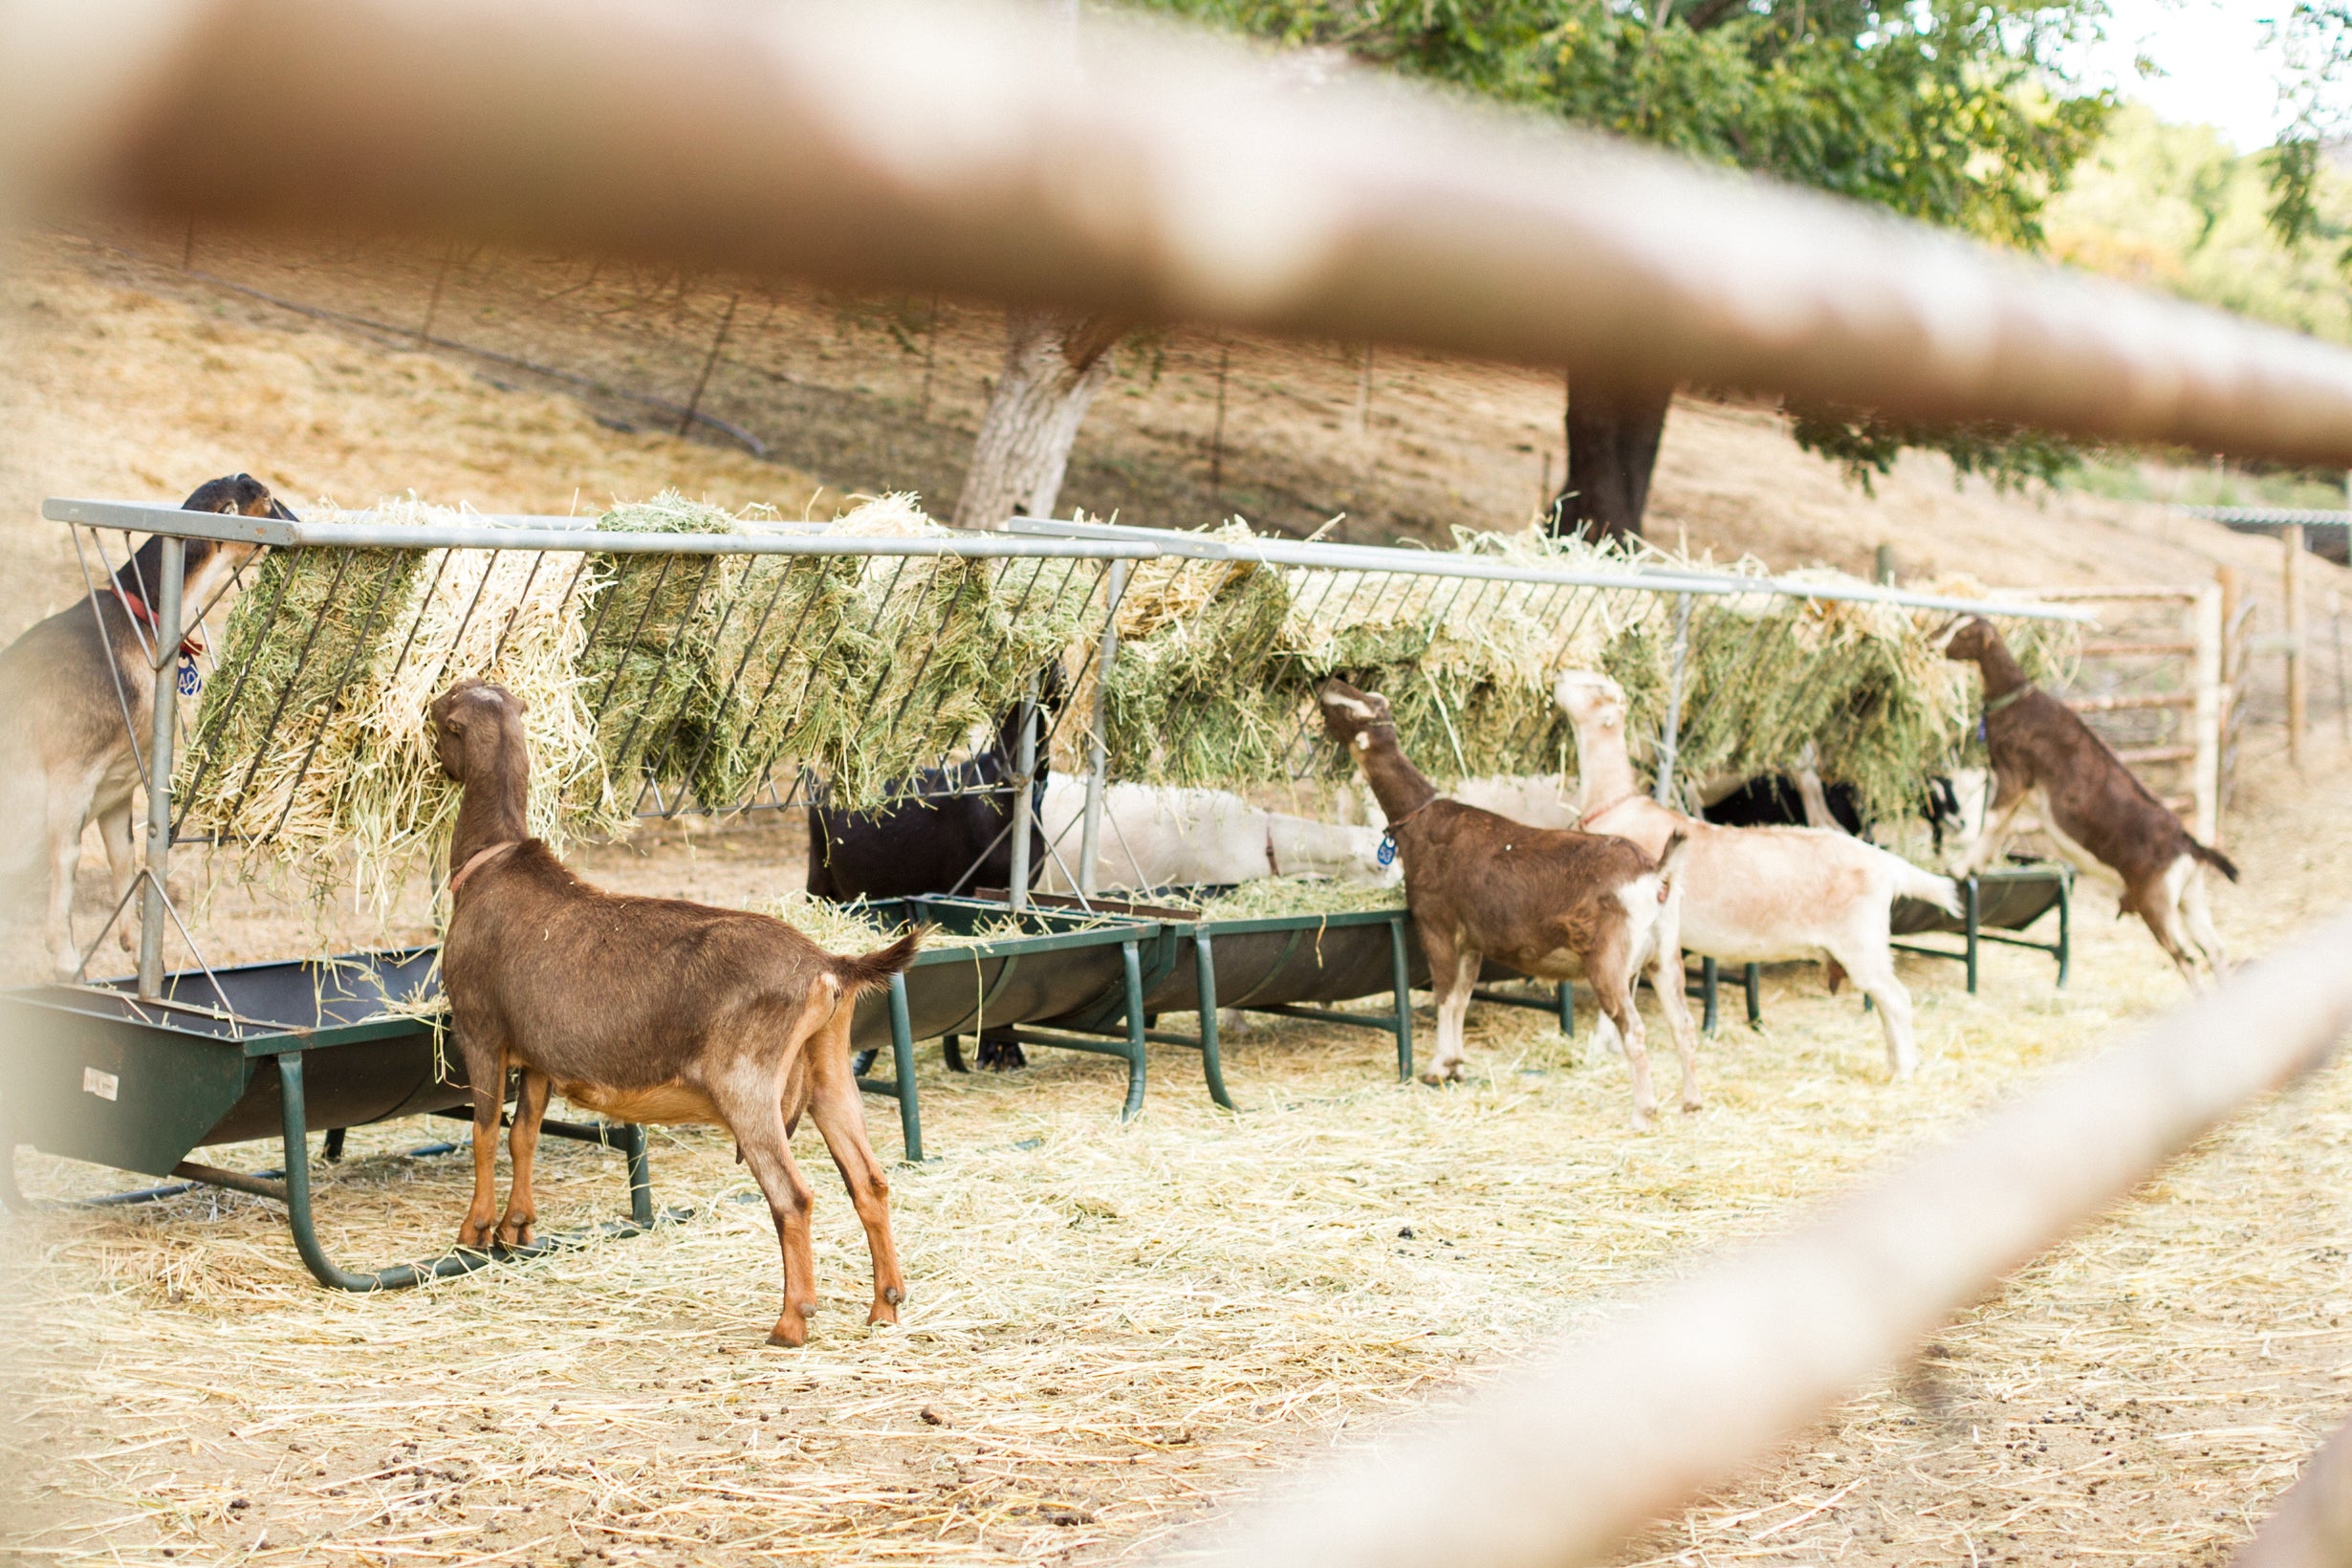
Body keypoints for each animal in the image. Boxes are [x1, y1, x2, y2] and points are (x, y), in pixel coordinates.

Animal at [0, 475, 289, 980]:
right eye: (267, 500)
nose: (294, 521)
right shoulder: (71, 770)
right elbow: (67, 853)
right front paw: (67, 957)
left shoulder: (117, 785)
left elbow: (124, 853)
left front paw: (136, 943)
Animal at [433, 678, 921, 1346]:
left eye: (440, 717)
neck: (493, 861)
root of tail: (828, 964)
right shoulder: (538, 1055)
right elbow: (523, 1135)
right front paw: (518, 1228)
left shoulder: (480, 1029)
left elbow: (485, 1133)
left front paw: (474, 1233)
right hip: (828, 1070)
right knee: (869, 1182)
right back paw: (884, 1308)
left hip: (747, 1085)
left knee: (793, 1197)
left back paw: (791, 1322)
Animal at [1317, 678, 1700, 1127]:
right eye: (1369, 699)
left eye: (1351, 710)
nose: (1329, 684)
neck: (1421, 824)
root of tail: (1655, 872)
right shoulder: (1472, 941)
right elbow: (1461, 998)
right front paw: (1455, 1065)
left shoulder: (1436, 924)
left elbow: (1444, 993)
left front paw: (1436, 1069)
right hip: (1664, 954)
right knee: (1683, 1024)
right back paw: (1692, 1103)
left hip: (1609, 959)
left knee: (1635, 1029)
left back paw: (1644, 1112)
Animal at [1556, 671, 1962, 1080]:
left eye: (1596, 687)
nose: (1559, 675)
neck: (1619, 805)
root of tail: (1883, 860)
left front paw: (1599, 1047)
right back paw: (1894, 1064)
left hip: (1861, 944)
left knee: (1897, 999)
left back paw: (1903, 1070)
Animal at [1943, 616, 2236, 986]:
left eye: (1962, 633)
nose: (1935, 643)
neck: (2017, 702)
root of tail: (2190, 845)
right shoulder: (2019, 788)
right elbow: (2000, 827)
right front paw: (1977, 866)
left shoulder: (2015, 772)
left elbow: (1993, 822)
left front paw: (1959, 867)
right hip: (2188, 897)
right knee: (2216, 951)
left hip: (2155, 900)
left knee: (2187, 956)